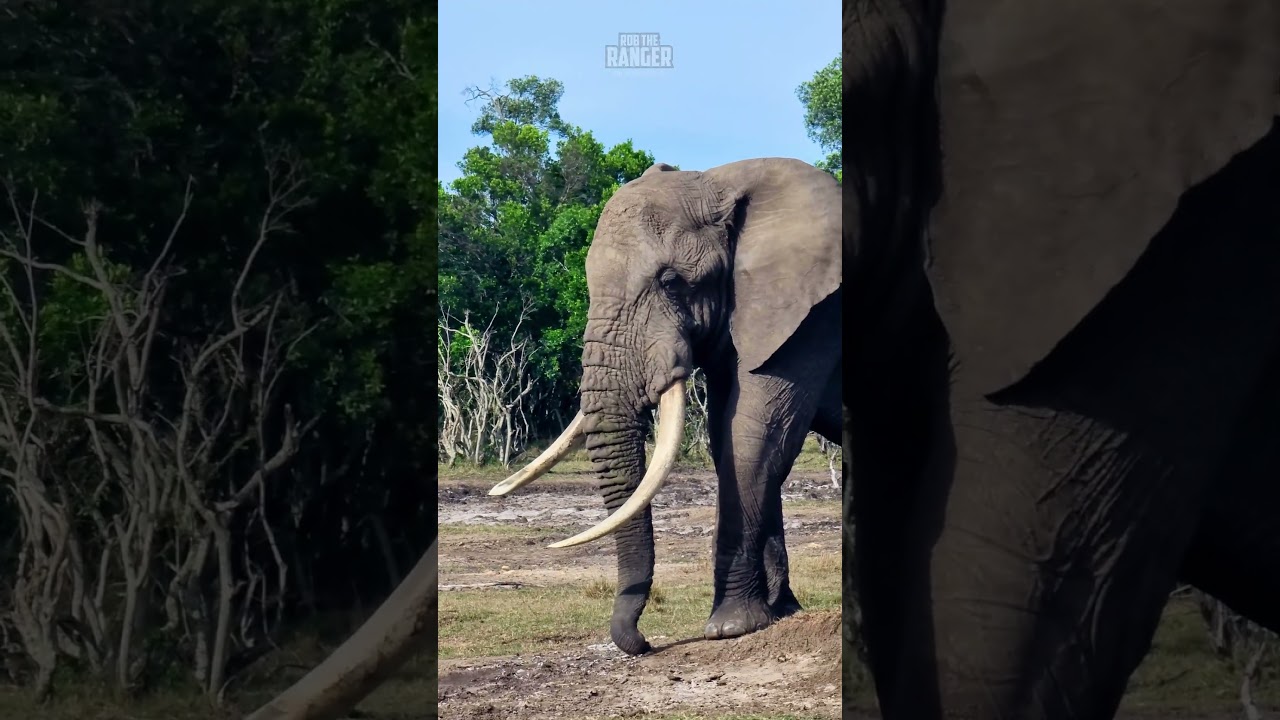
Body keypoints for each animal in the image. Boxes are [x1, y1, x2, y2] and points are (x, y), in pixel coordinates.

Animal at [492, 158, 842, 655]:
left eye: (671, 282)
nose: (641, 642)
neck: (719, 180)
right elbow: (728, 437)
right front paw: (779, 615)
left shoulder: (815, 315)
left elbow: (752, 439)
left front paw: (729, 628)